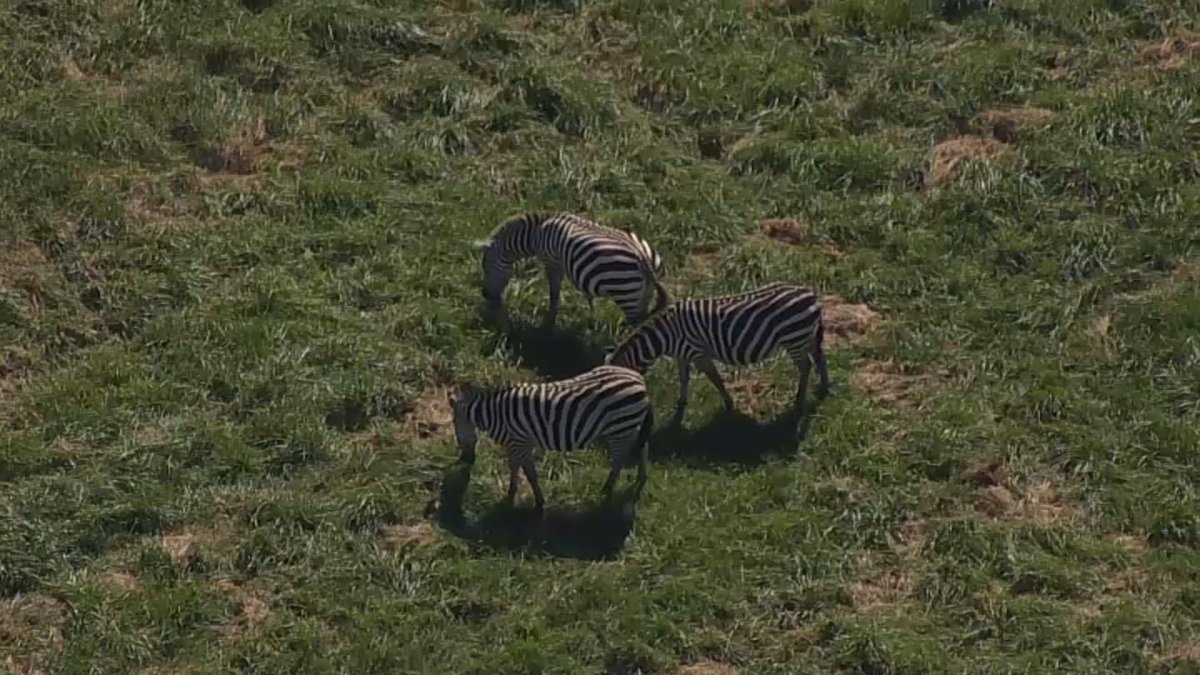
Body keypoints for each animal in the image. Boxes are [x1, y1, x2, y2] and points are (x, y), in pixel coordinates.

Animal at [447, 364, 655, 511]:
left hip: (619, 428)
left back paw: (607, 490)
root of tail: (639, 380)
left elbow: (529, 473)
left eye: (456, 429)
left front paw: (539, 502)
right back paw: (641, 478)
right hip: (629, 426)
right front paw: (511, 492)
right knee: (643, 448)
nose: (466, 460)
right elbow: (515, 468)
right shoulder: (516, 444)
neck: (495, 415)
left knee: (620, 459)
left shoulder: (521, 443)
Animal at [473, 212, 670, 327]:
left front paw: (549, 323)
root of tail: (643, 258)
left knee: (635, 323)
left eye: (486, 267)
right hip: (643, 293)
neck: (537, 232)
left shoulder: (552, 261)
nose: (485, 295)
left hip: (626, 293)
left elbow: (554, 293)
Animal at [606, 282, 830, 431]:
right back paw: (824, 389)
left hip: (795, 339)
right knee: (819, 357)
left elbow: (715, 379)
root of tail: (811, 293)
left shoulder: (698, 353)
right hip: (805, 337)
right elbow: (684, 379)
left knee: (806, 366)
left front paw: (729, 404)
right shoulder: (683, 355)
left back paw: (799, 402)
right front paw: (681, 403)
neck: (664, 336)